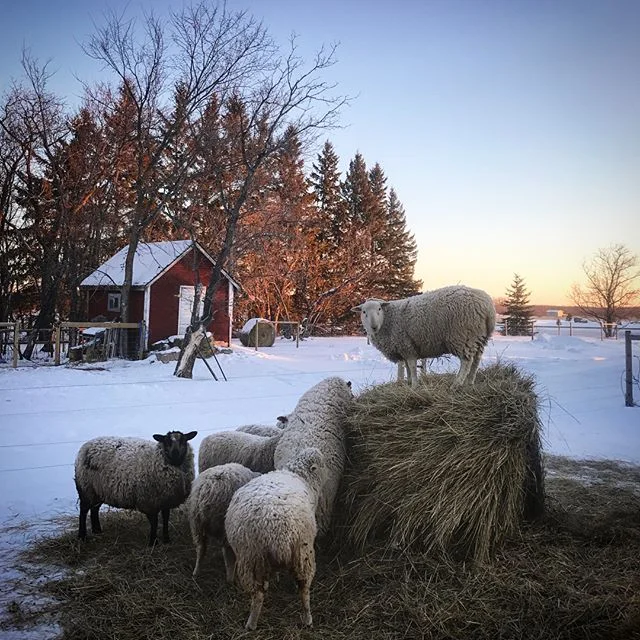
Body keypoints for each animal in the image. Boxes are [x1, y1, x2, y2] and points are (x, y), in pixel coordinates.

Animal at [225, 447, 326, 630]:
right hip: (295, 554)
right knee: (294, 591)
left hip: (262, 558)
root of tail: (280, 535)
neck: (297, 474)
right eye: (322, 465)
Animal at [352, 285, 496, 387]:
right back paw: (469, 382)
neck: (388, 320)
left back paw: (456, 383)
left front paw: (415, 385)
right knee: (476, 360)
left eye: (379, 309)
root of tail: (487, 306)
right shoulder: (404, 349)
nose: (373, 326)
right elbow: (407, 367)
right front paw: (409, 383)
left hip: (463, 336)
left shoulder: (407, 346)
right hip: (478, 337)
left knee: (467, 362)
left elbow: (411, 366)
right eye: (363, 312)